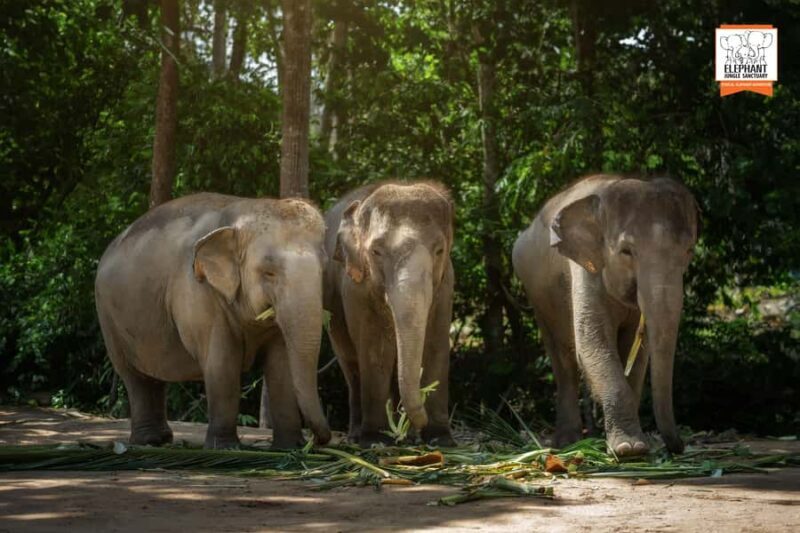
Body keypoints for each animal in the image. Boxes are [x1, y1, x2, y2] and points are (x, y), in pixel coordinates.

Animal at [95, 193, 332, 449]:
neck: (242, 211)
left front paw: (290, 447)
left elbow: (281, 366)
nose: (318, 440)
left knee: (153, 378)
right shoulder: (197, 293)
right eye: (269, 272)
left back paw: (161, 439)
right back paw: (149, 440)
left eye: (323, 268)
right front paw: (225, 447)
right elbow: (222, 363)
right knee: (135, 377)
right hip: (108, 318)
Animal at [323, 181, 456, 447]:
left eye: (439, 250)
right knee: (351, 366)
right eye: (376, 251)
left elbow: (436, 346)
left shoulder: (446, 285)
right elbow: (375, 351)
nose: (419, 421)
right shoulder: (356, 291)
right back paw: (358, 436)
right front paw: (375, 440)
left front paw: (441, 440)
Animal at [512, 175, 699, 456]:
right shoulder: (585, 269)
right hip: (537, 294)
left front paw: (631, 444)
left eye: (688, 250)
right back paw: (568, 443)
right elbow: (592, 342)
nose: (679, 447)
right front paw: (629, 449)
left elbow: (638, 354)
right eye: (626, 251)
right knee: (563, 360)